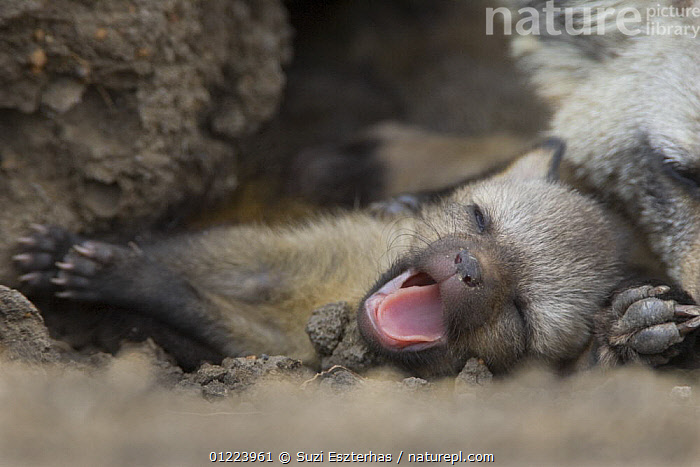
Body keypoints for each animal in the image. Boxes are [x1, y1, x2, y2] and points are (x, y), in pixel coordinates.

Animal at [13, 142, 700, 375]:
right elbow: (173, 255)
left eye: (522, 314)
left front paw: (627, 335)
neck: (337, 298)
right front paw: (65, 251)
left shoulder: (266, 346)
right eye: (480, 219)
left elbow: (177, 295)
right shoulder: (278, 252)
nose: (466, 267)